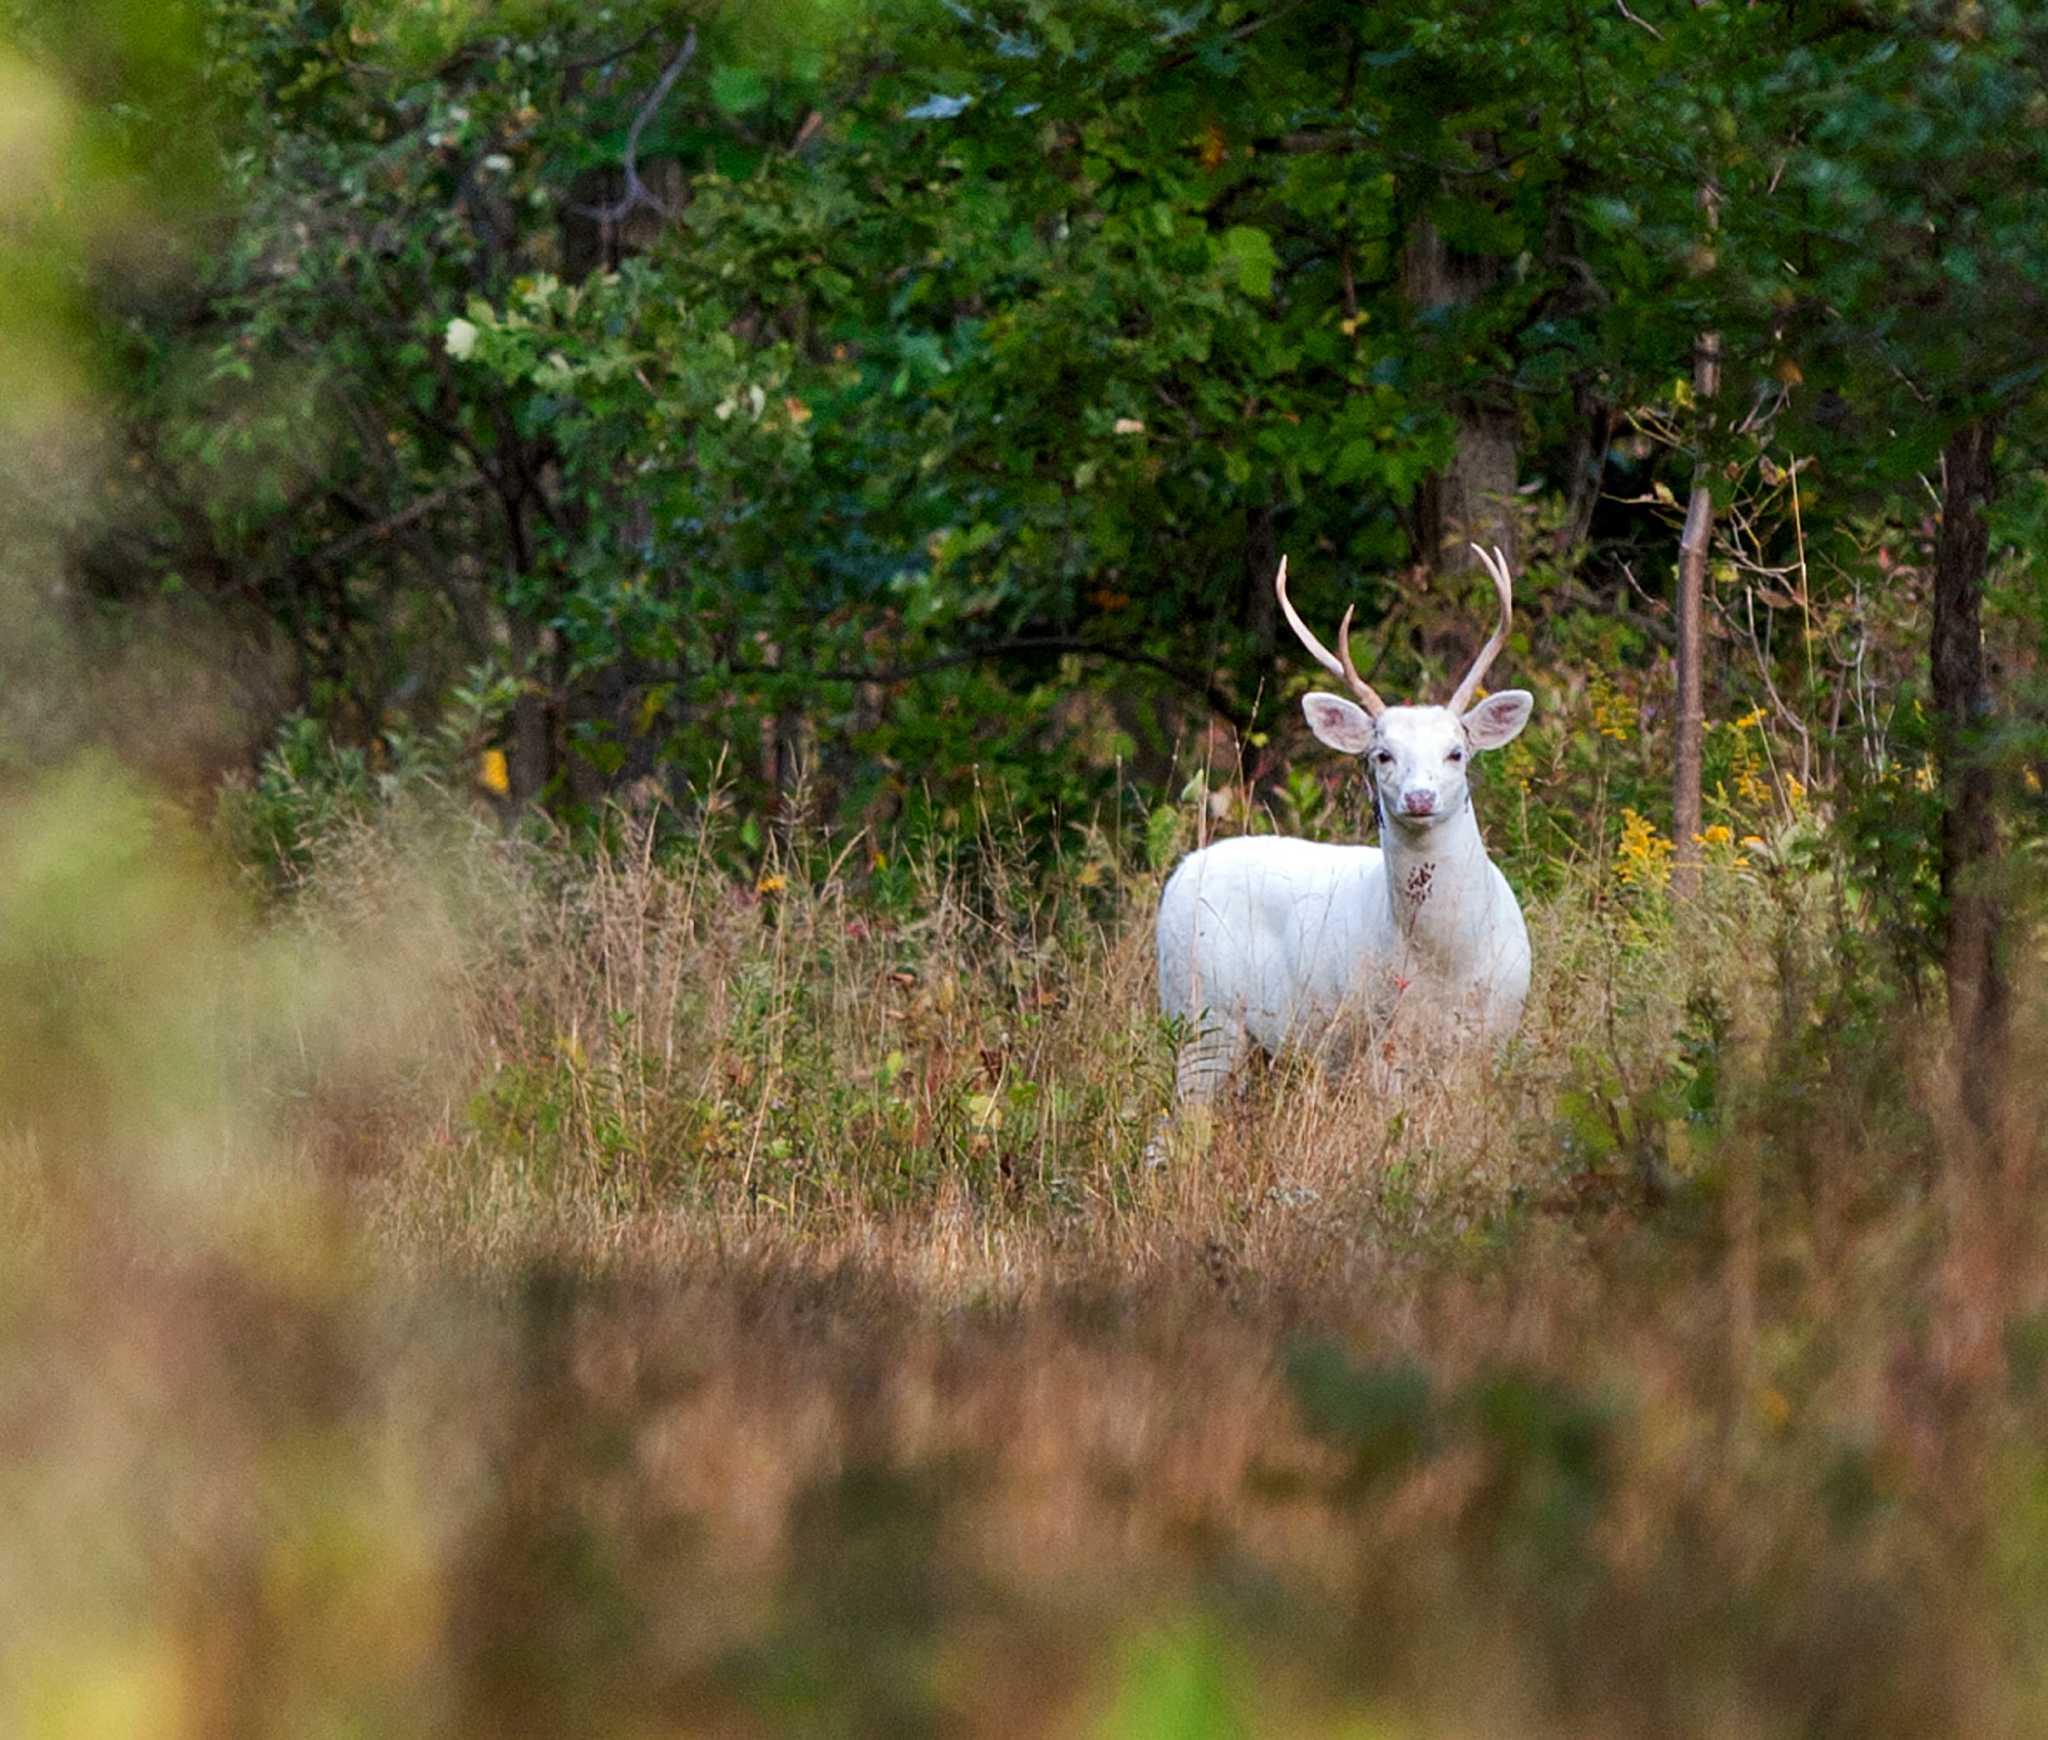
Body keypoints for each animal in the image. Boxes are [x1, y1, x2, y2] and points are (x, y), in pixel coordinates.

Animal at [1155, 546, 1533, 1106]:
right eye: (1382, 755)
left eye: (1456, 752)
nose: (1419, 797)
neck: (1449, 964)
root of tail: (1183, 869)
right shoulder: (1378, 1037)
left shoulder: (1494, 1035)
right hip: (1200, 1011)